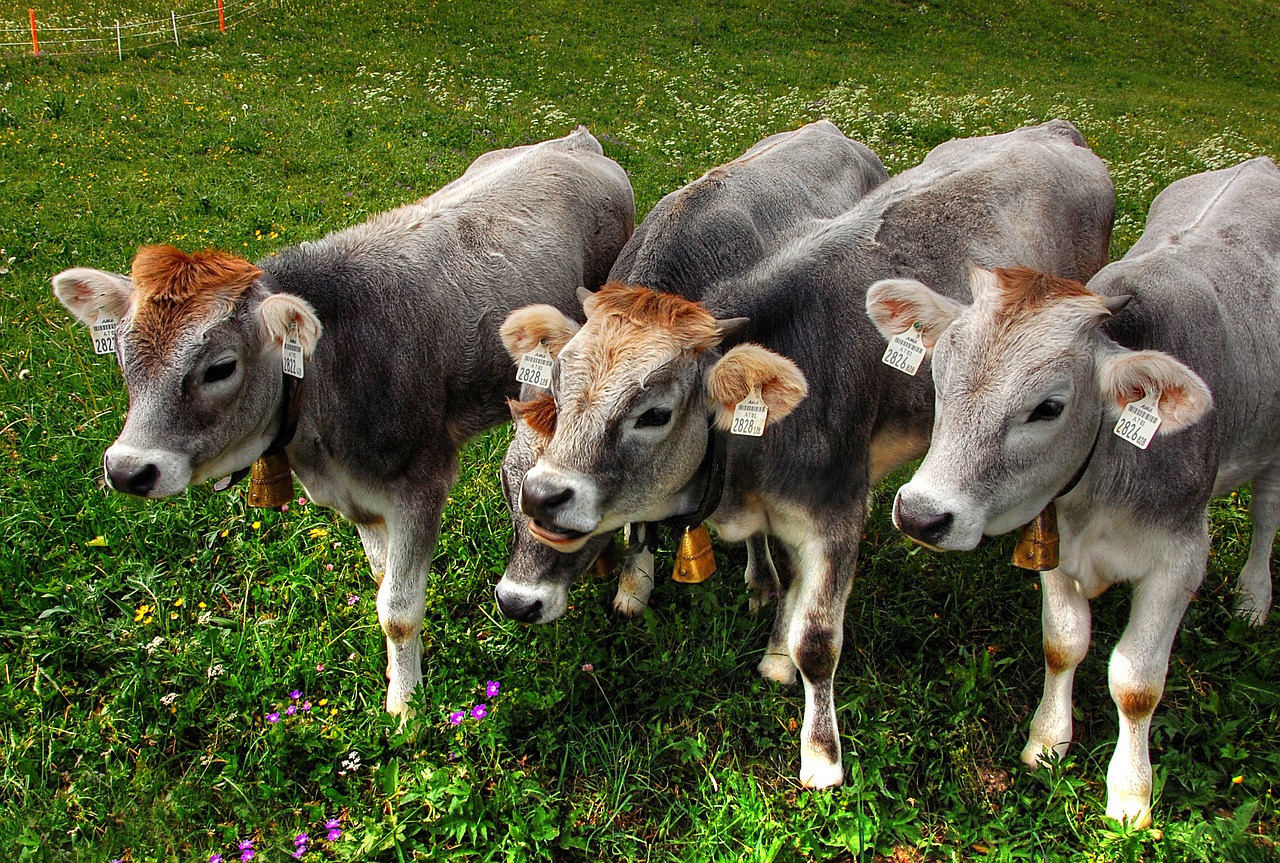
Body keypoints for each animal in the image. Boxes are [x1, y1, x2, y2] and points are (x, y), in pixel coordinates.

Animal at [51, 127, 635, 718]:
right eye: (122, 356)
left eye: (220, 367)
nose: (128, 470)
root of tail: (577, 139)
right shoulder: (360, 497)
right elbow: (381, 582)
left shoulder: (422, 482)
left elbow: (398, 609)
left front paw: (405, 706)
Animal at [866, 156, 1280, 826]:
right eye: (938, 375)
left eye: (1049, 407)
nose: (920, 515)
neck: (1100, 495)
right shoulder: (1054, 535)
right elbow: (1063, 644)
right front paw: (1047, 741)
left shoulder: (1180, 557)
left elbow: (1136, 682)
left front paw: (1131, 795)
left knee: (1268, 514)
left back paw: (1253, 597)